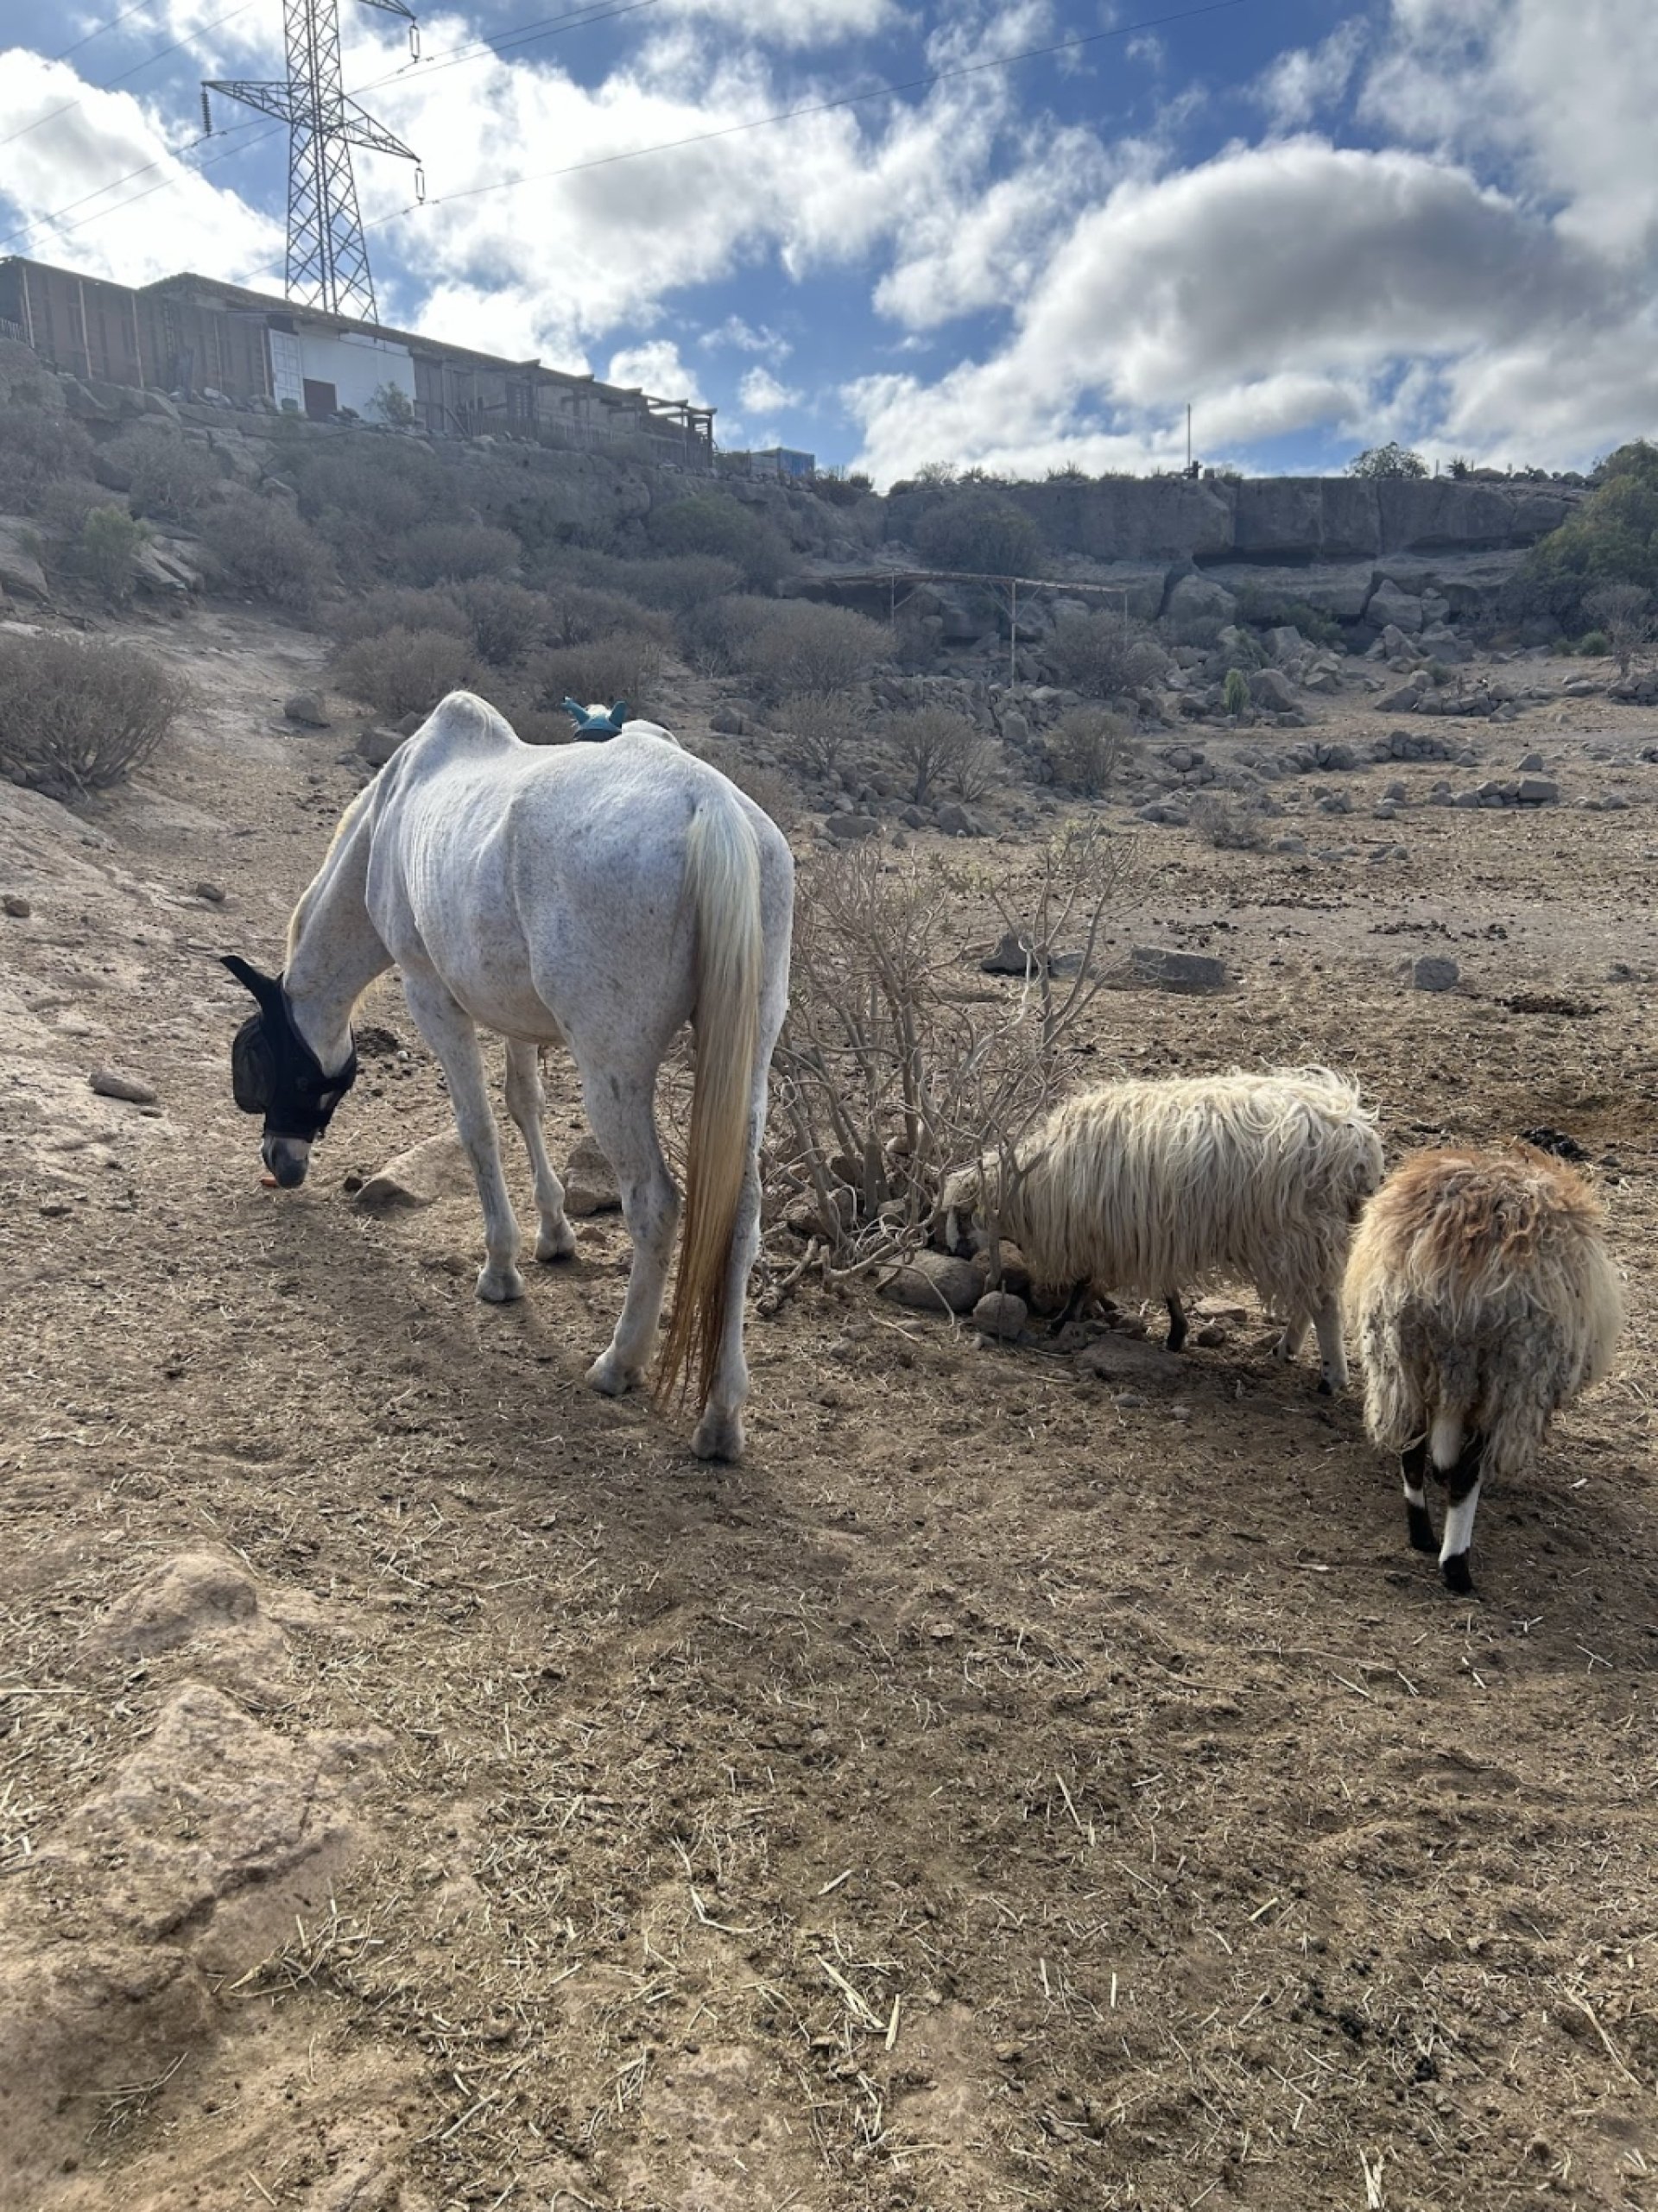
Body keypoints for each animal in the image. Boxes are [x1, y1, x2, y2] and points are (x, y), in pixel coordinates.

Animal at [223, 691, 794, 1462]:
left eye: (258, 1059)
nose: (278, 1162)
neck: (388, 822)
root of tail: (711, 805)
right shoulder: (515, 1013)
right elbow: (525, 1104)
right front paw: (554, 1233)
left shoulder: (433, 995)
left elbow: (478, 1129)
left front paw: (501, 1268)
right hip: (748, 1062)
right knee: (741, 1214)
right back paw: (722, 1416)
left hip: (612, 1069)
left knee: (655, 1204)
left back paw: (620, 1363)